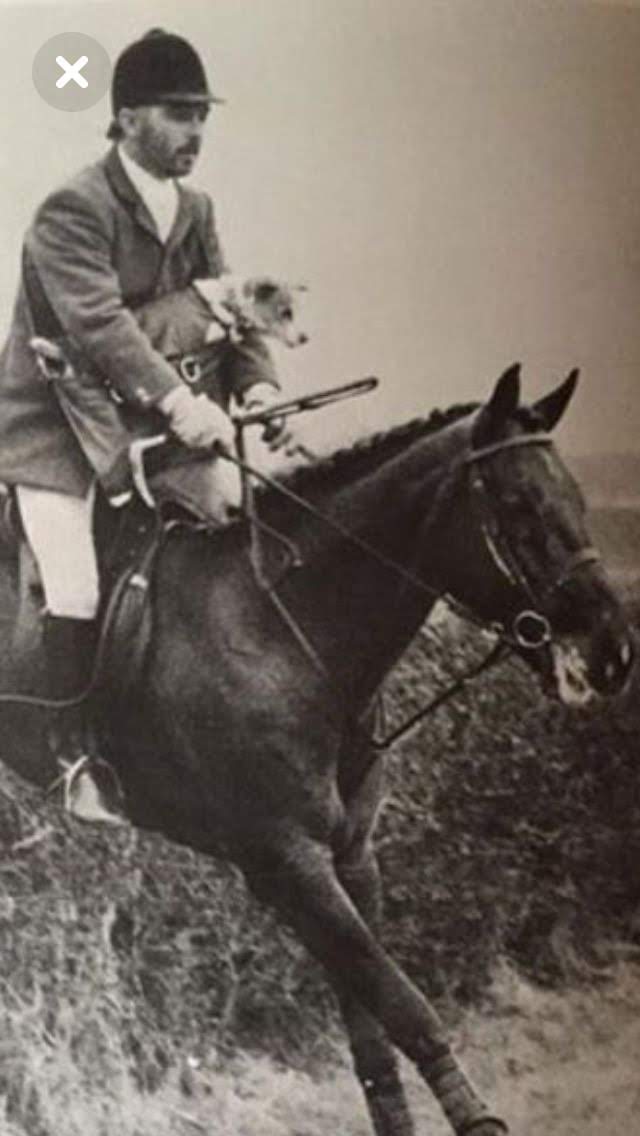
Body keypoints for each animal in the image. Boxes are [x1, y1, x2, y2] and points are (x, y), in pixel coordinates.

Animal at [0, 363, 633, 1136]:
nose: (613, 654)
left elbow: (368, 1022)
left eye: (578, 497)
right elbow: (403, 1006)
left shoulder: (349, 856)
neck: (279, 624)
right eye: (518, 507)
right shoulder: (287, 862)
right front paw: (478, 1119)